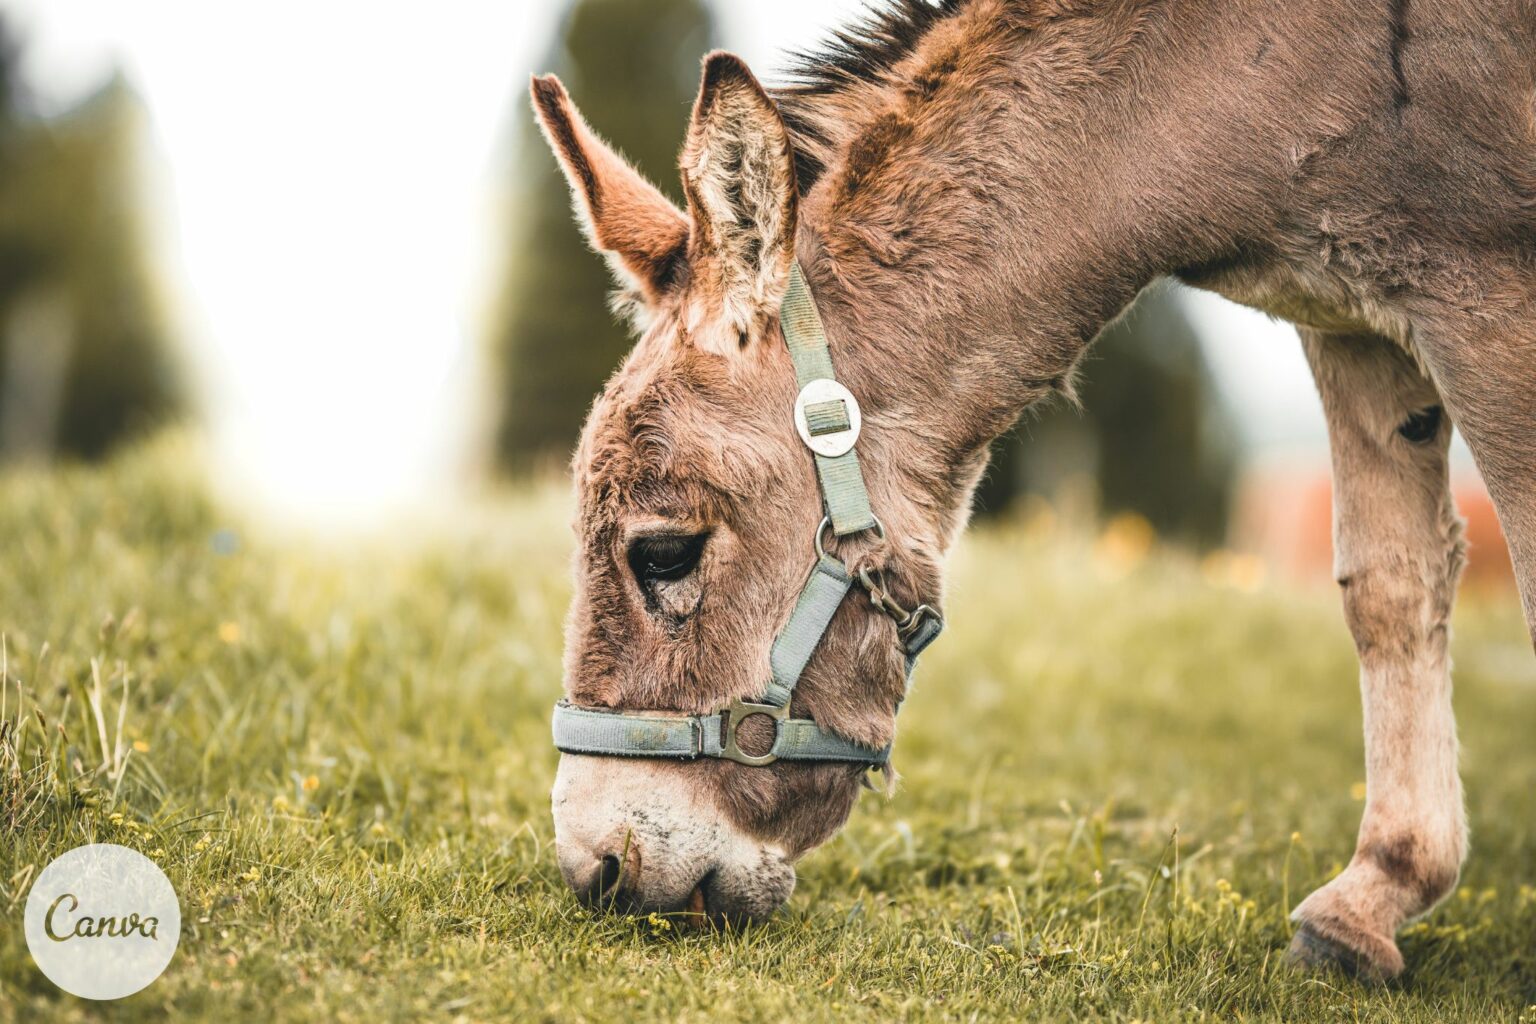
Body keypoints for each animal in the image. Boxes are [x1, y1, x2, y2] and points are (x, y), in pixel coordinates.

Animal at [531, 0, 1536, 981]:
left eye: (665, 552)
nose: (597, 872)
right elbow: (1390, 589)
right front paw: (1373, 899)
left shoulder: (1482, 292)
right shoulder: (1351, 319)